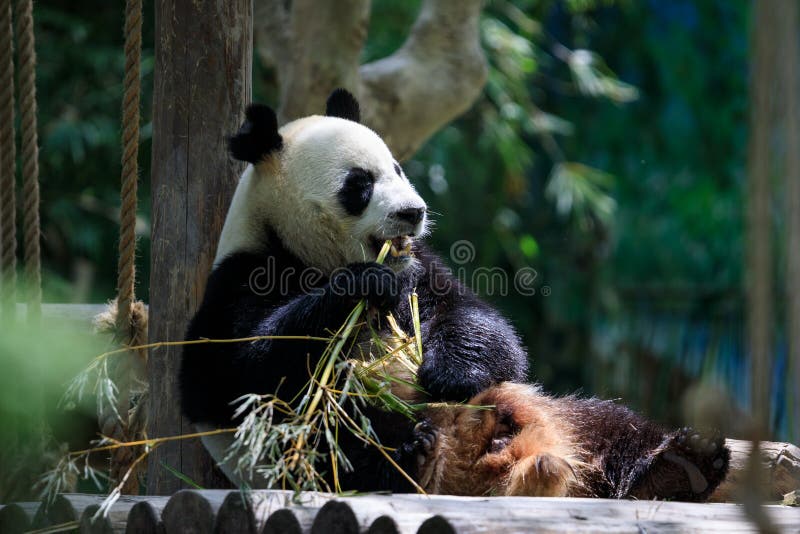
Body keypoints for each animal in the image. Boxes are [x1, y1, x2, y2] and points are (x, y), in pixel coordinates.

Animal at [179, 89, 529, 491]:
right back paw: (409, 460)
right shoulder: (239, 279)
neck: (300, 247)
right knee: (333, 437)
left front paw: (452, 375)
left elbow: (470, 316)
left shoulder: (419, 269)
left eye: (396, 169)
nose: (414, 212)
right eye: (359, 185)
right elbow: (241, 371)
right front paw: (365, 283)